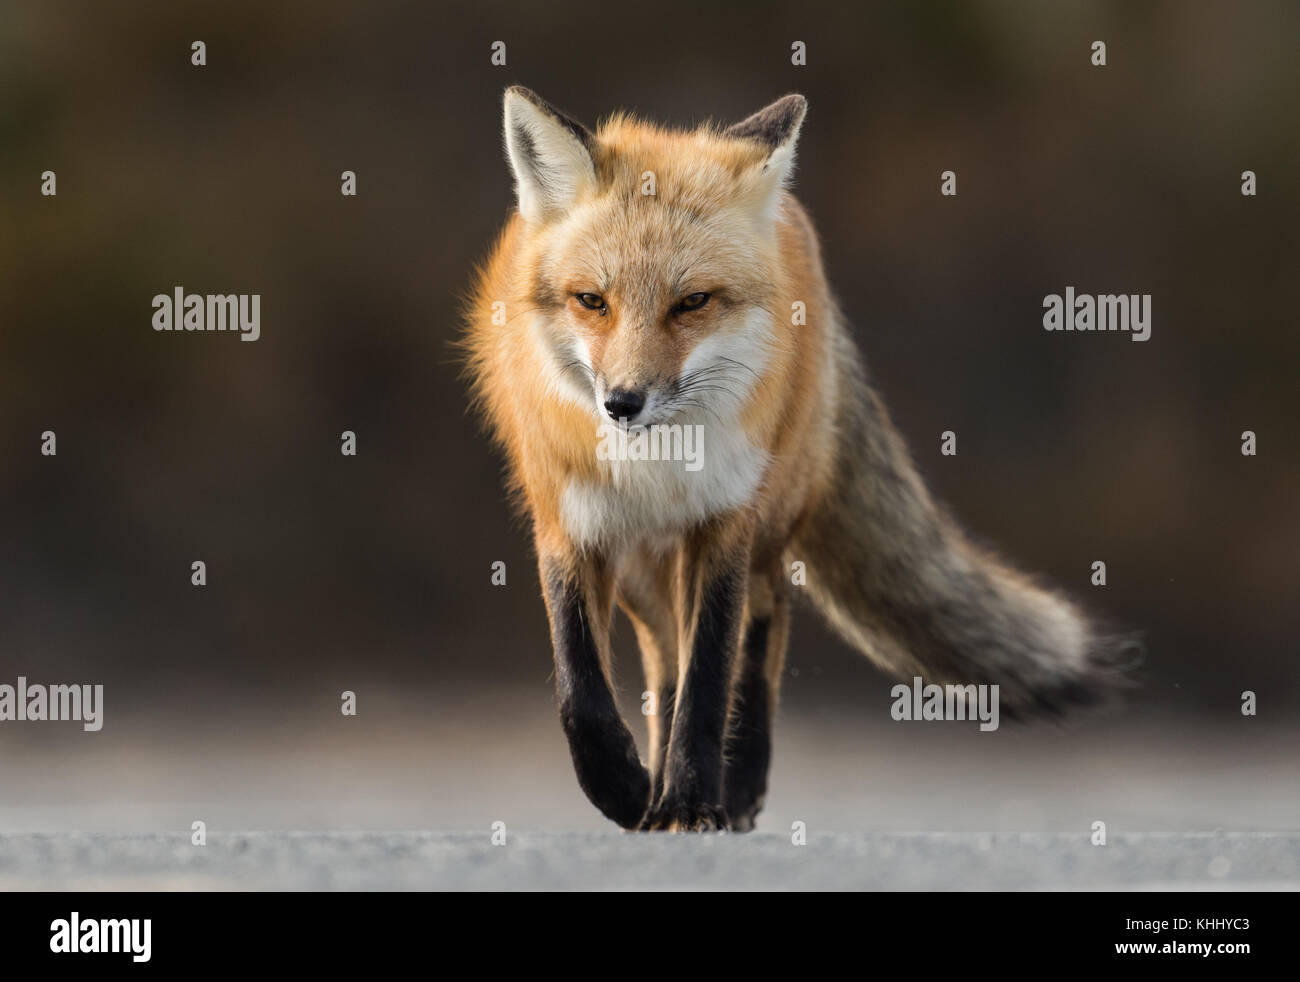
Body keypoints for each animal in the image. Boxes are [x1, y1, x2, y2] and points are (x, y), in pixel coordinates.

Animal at [463, 87, 1132, 832]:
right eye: (591, 301)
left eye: (691, 302)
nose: (622, 403)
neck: (655, 470)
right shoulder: (569, 526)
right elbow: (582, 690)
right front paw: (625, 788)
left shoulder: (724, 523)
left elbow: (709, 678)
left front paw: (693, 798)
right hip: (643, 569)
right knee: (666, 659)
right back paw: (660, 787)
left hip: (762, 525)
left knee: (763, 621)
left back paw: (738, 784)